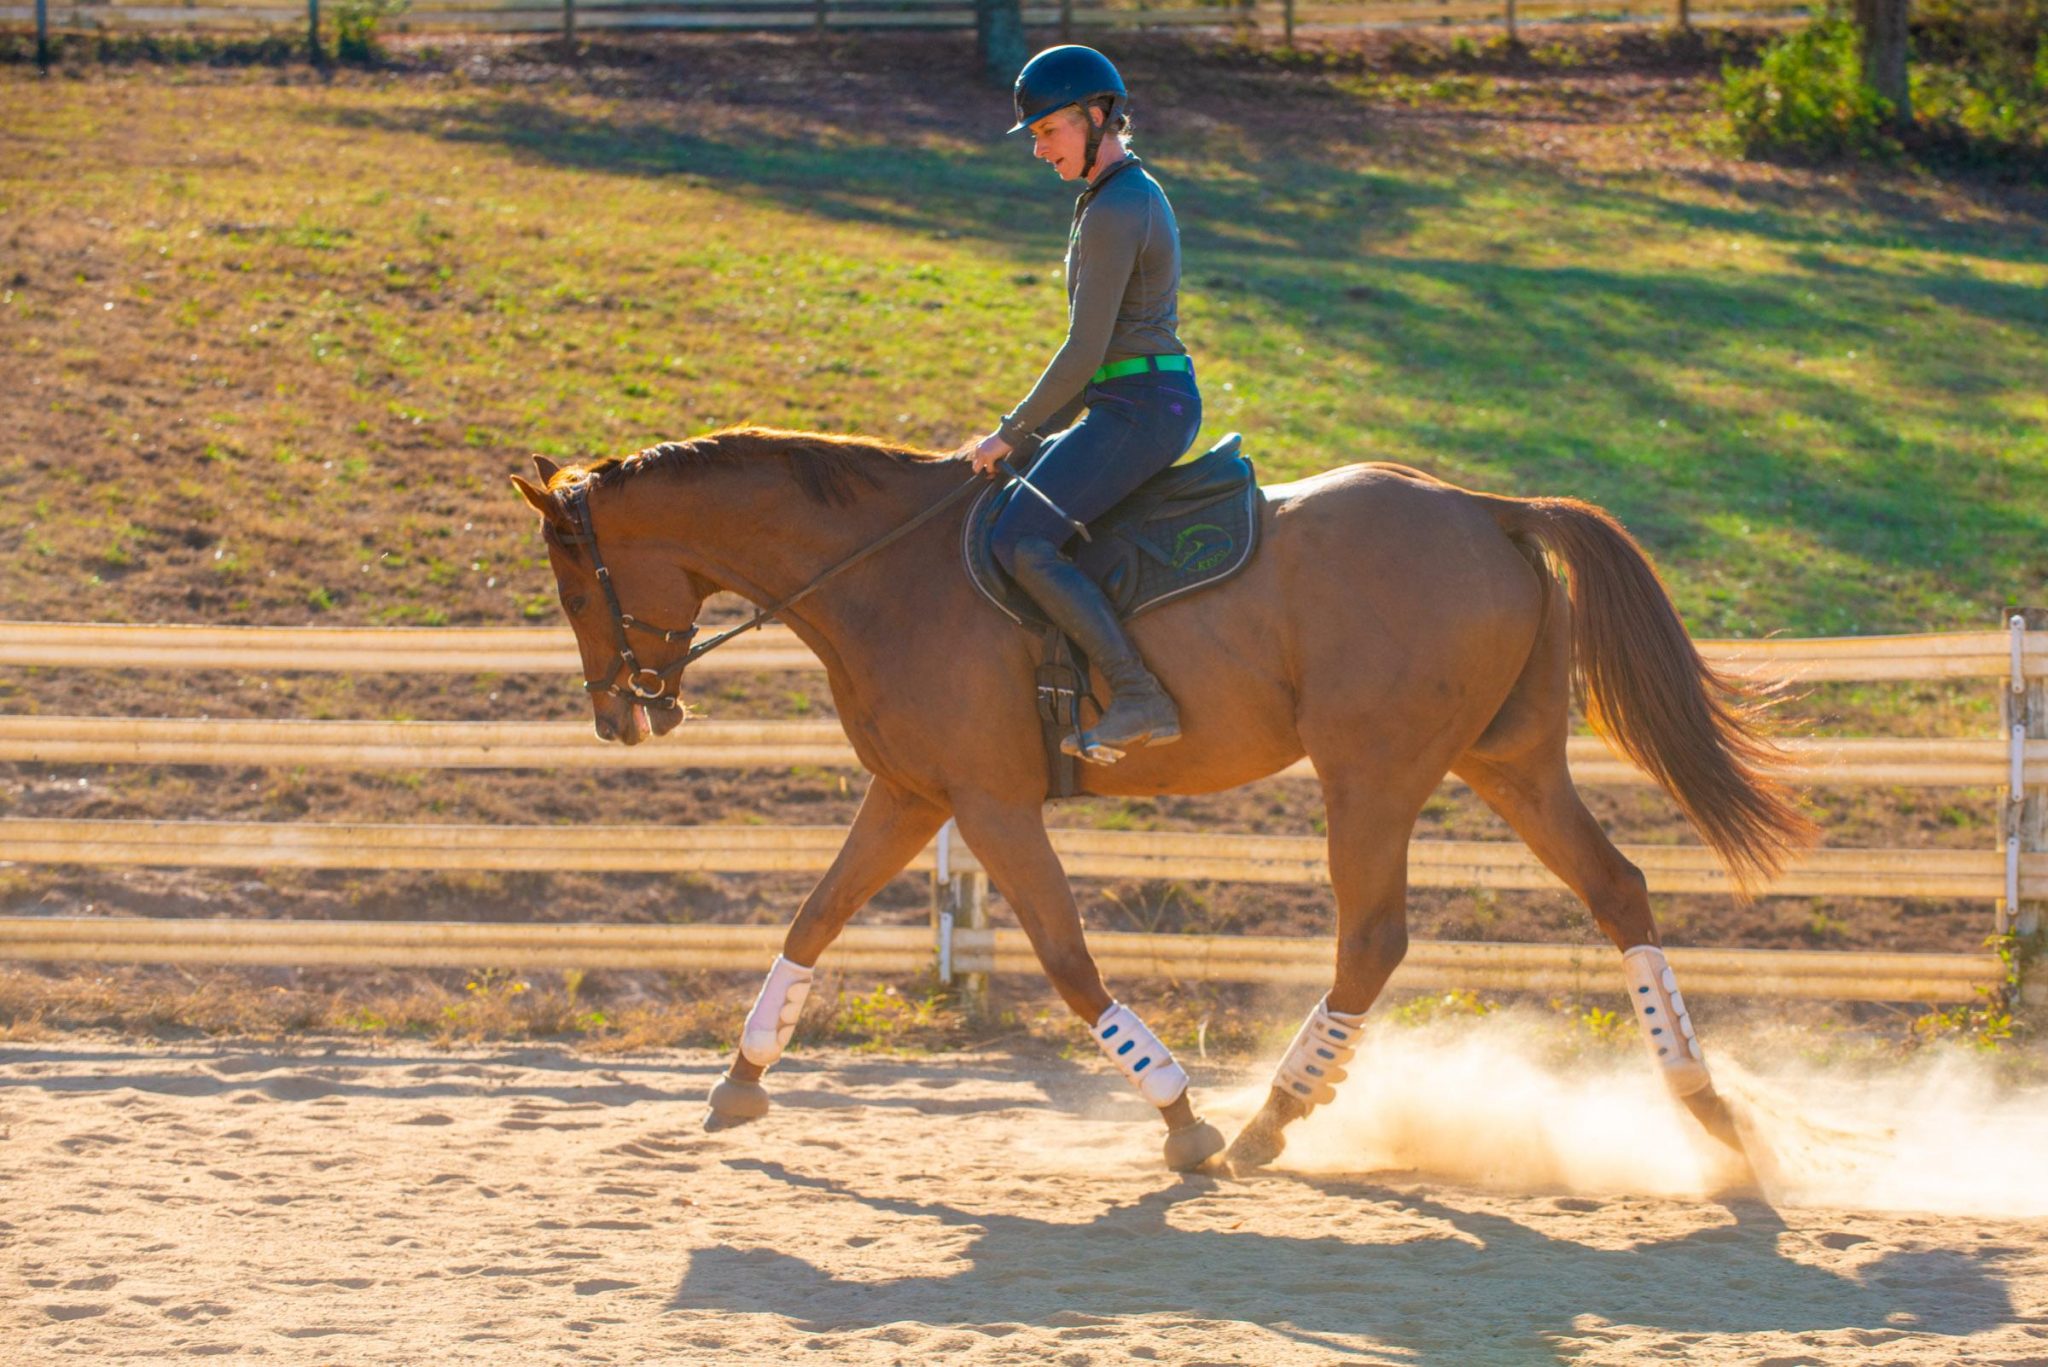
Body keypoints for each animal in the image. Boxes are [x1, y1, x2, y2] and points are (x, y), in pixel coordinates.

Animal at [510, 426, 1812, 1174]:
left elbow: (1066, 958)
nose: (621, 715)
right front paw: (738, 1079)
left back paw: (1269, 1118)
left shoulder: (989, 803)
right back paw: (1707, 1112)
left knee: (1373, 937)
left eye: (574, 586)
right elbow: (814, 919)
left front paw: (1179, 1114)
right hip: (1510, 763)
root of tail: (1482, 505)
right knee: (1616, 889)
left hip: (1371, 772)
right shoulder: (912, 793)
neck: (886, 570)